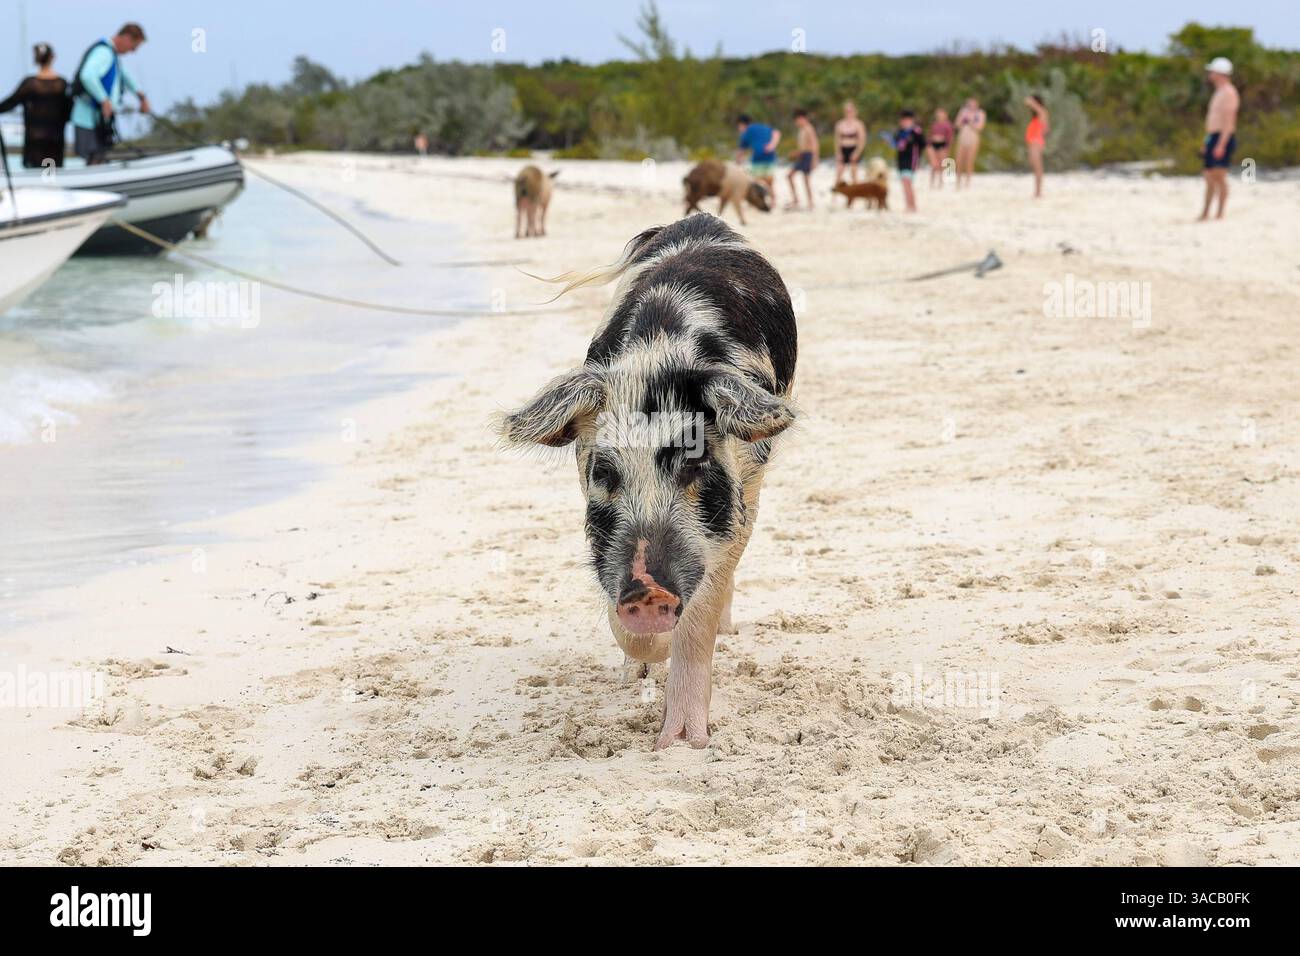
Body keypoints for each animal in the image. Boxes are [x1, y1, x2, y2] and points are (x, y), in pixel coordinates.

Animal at [498, 214, 798, 749]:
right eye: (603, 470)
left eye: (694, 462)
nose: (647, 590)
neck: (659, 356)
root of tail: (701, 218)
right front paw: (640, 667)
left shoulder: (736, 502)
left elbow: (698, 619)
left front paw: (683, 743)